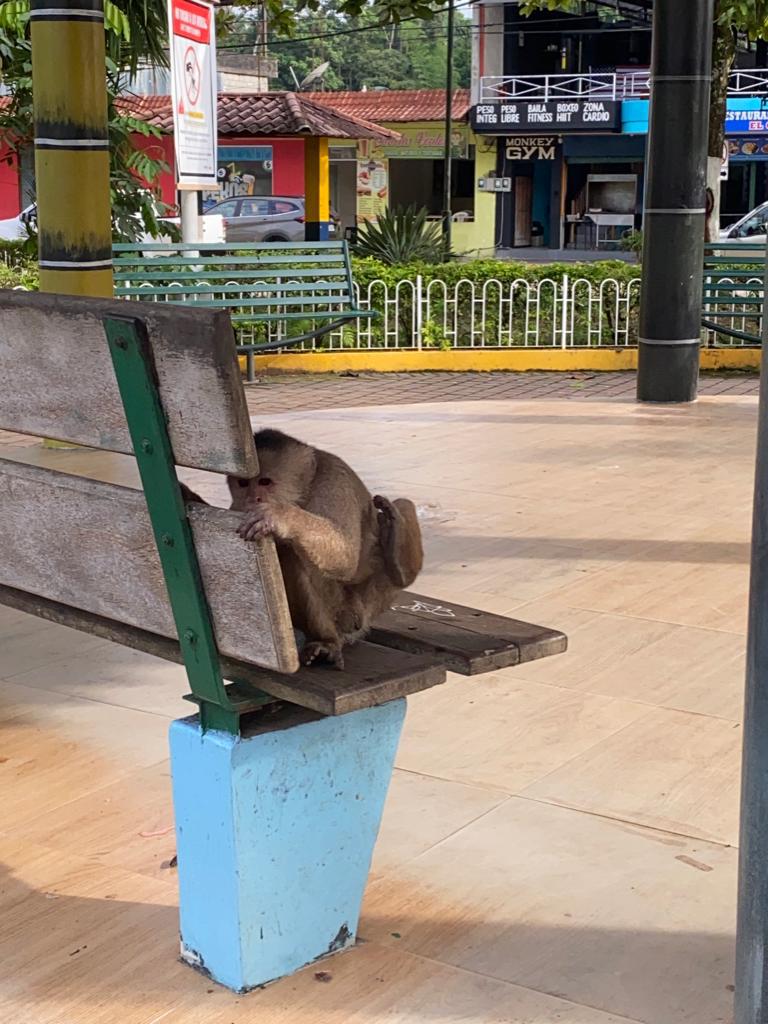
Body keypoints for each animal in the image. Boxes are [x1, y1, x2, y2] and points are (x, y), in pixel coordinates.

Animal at [180, 429, 423, 669]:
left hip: (355, 608)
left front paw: (281, 517)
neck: (304, 492)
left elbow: (346, 559)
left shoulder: (334, 482)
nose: (253, 498)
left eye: (265, 482)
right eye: (243, 483)